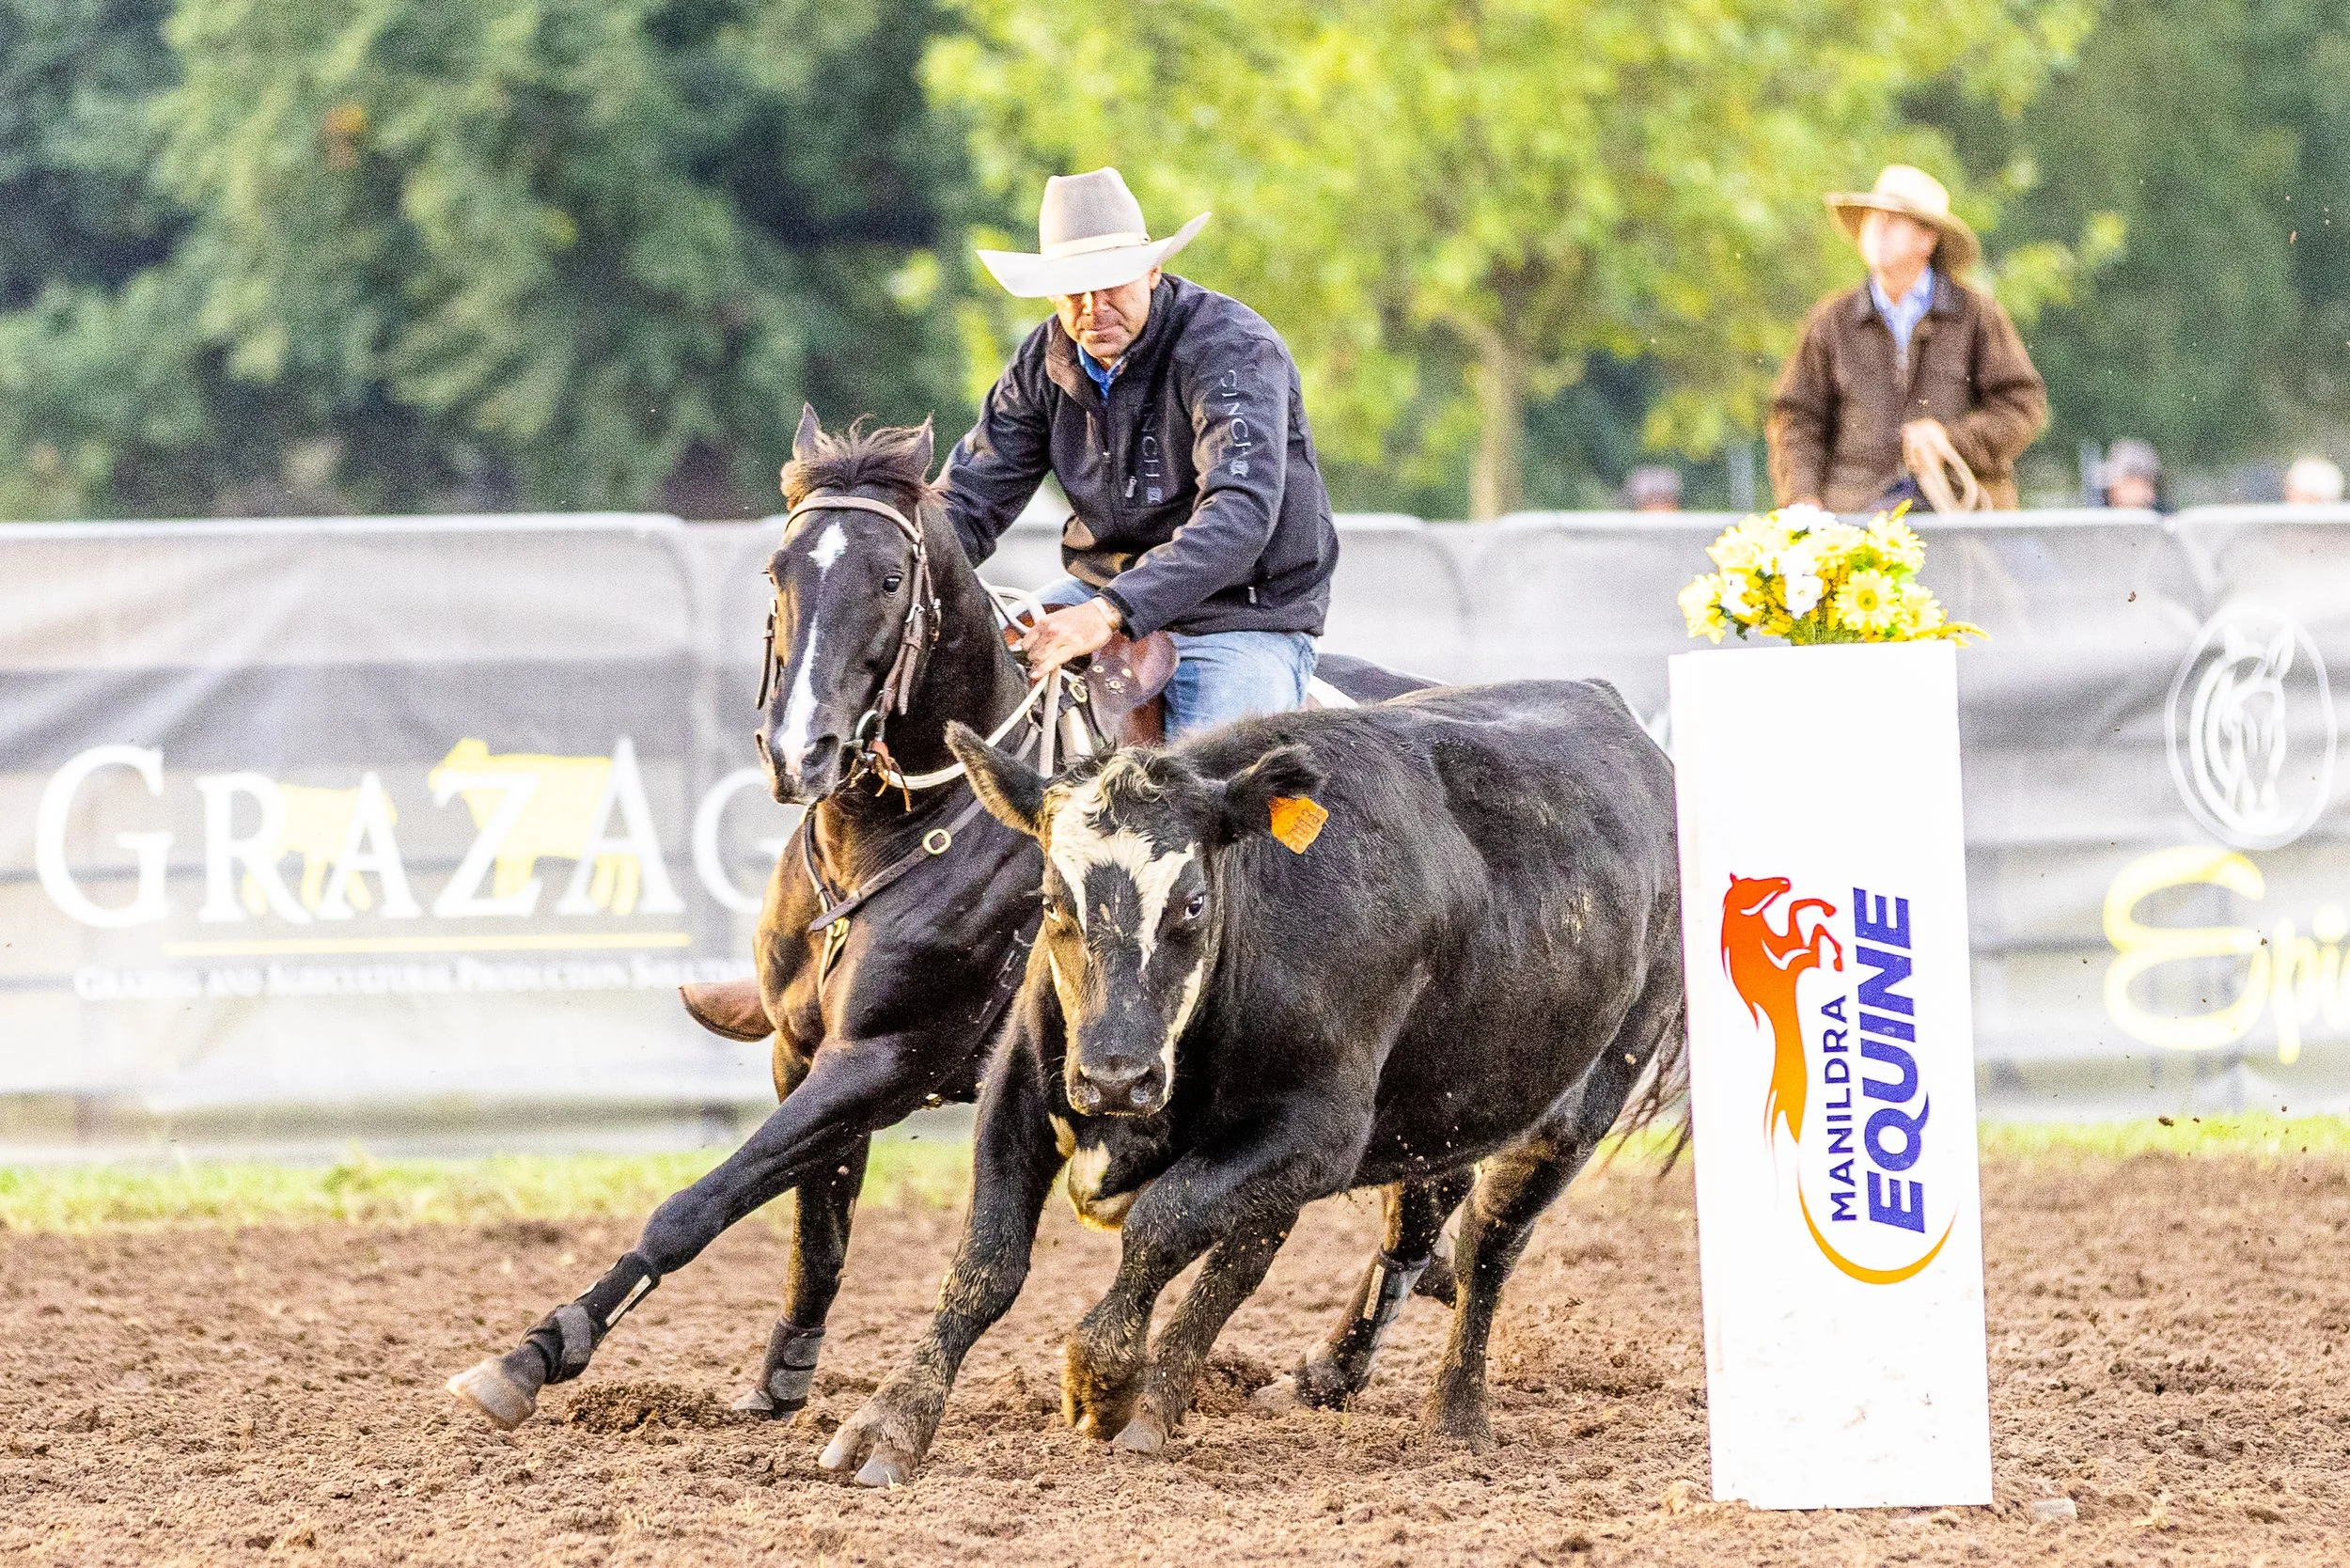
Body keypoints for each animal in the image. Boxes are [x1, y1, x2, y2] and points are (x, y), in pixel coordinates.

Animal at [445, 408, 1455, 1432]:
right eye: (779, 569)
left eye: (890, 580)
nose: (798, 750)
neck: (912, 828)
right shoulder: (806, 1054)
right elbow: (817, 1224)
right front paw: (782, 1378)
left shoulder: (885, 1059)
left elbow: (701, 1202)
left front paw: (538, 1350)